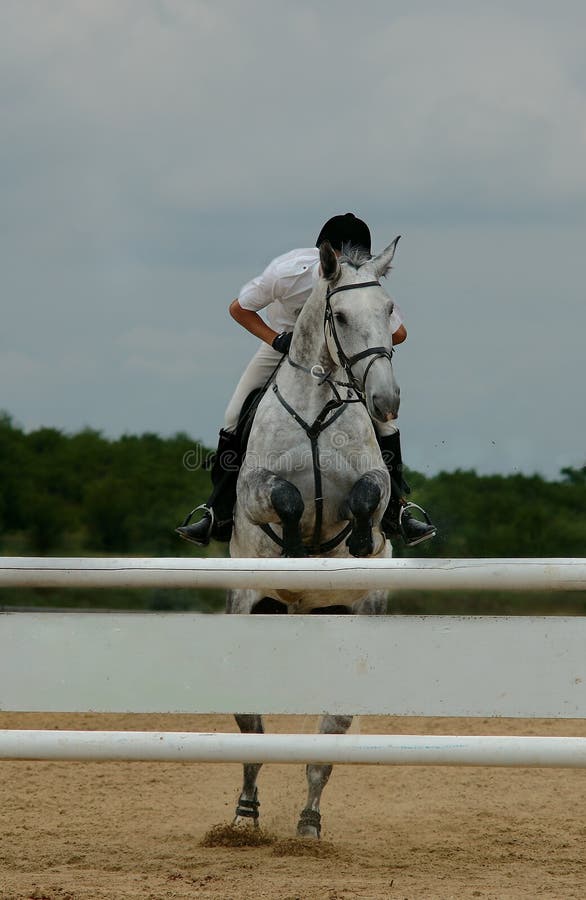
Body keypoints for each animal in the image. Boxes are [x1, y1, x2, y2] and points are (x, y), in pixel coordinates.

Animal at [226, 237, 401, 838]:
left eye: (389, 311)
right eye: (340, 316)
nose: (386, 402)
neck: (321, 402)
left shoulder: (376, 481)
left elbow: (371, 495)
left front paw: (360, 540)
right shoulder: (255, 489)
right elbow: (285, 498)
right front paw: (297, 548)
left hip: (350, 621)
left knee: (330, 729)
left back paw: (308, 822)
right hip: (251, 610)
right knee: (251, 725)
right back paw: (245, 815)